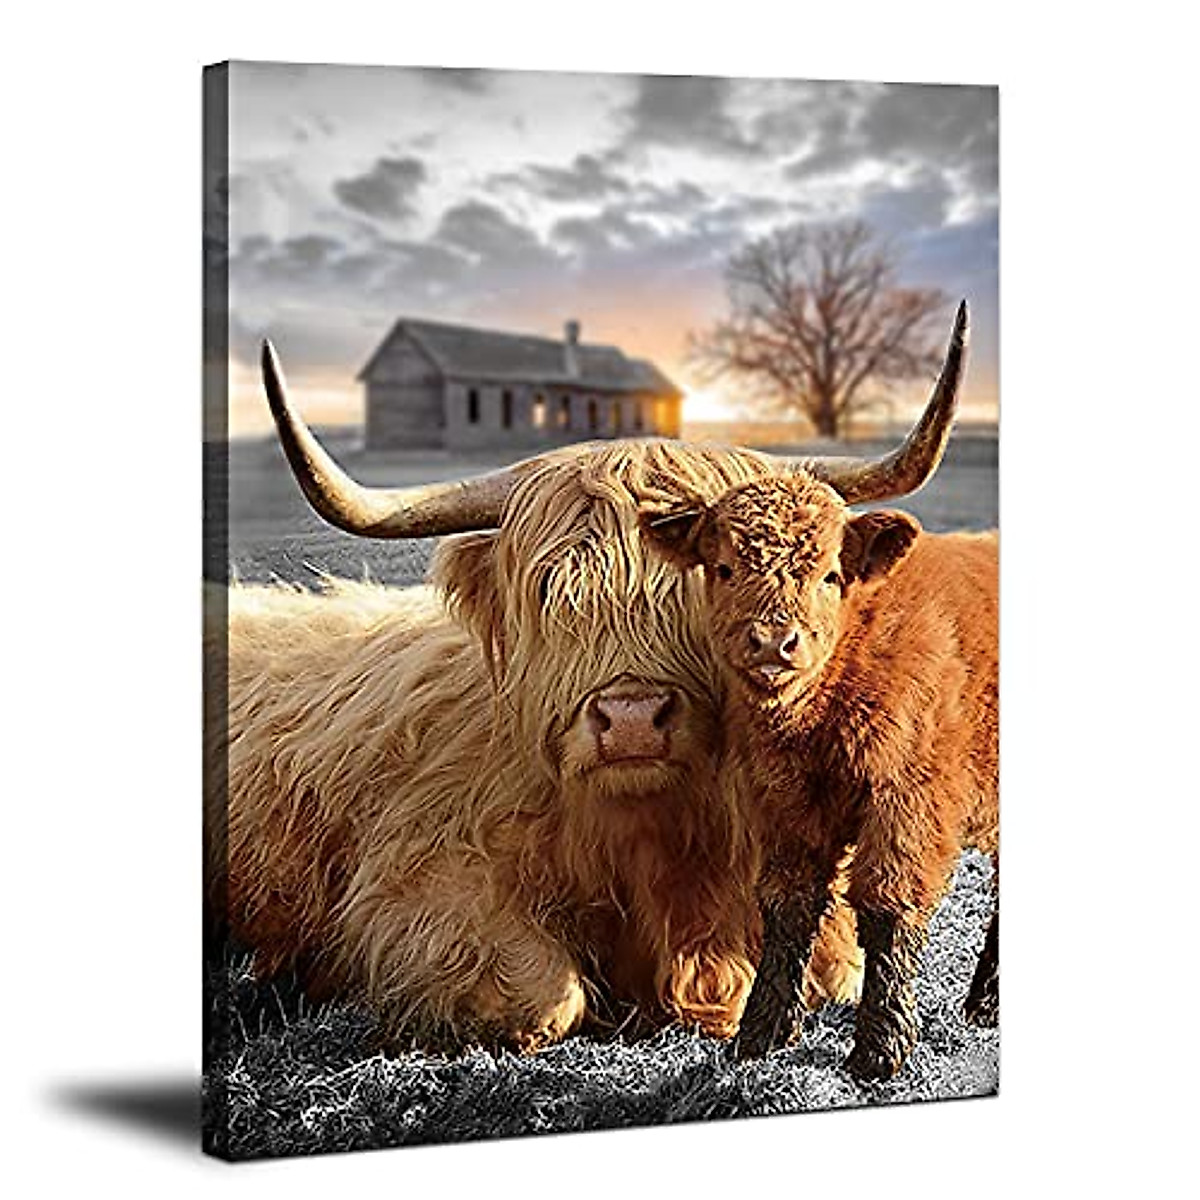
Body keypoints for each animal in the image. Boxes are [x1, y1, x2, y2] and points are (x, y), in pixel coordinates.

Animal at [205, 308, 967, 1054]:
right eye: (550, 590)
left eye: (710, 576)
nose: (631, 720)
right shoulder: (410, 886)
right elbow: (543, 996)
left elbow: (827, 966)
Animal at [638, 303, 999, 1079]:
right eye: (721, 566)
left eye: (831, 573)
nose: (775, 644)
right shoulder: (783, 800)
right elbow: (789, 904)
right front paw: (761, 1037)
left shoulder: (911, 798)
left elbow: (887, 907)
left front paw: (882, 1050)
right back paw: (986, 1002)